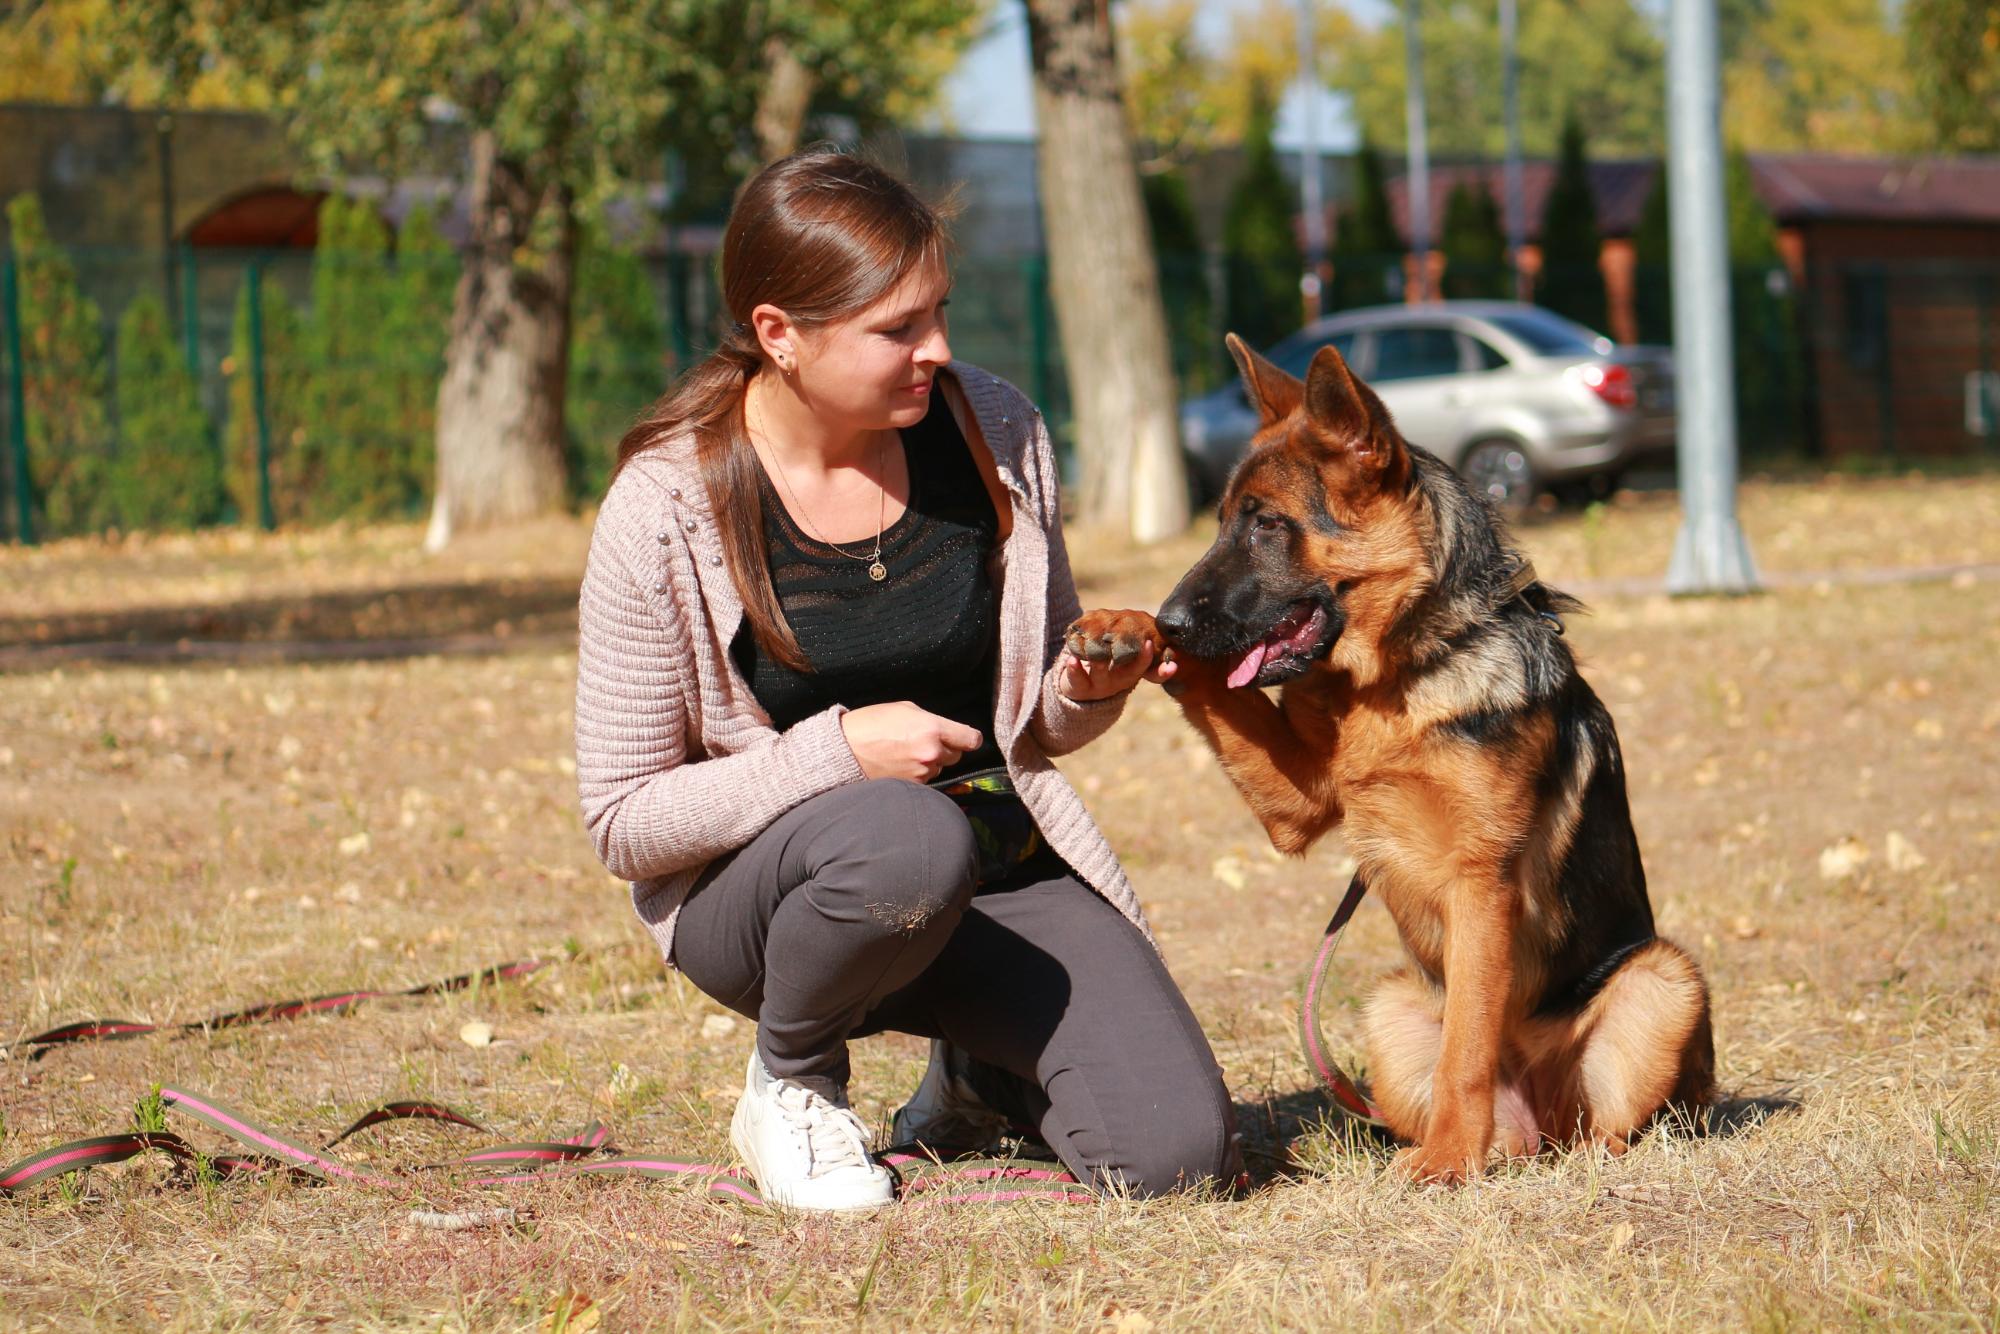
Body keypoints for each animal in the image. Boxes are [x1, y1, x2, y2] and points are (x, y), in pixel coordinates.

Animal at [1072, 340, 1712, 1184]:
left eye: (1268, 525)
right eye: (1221, 525)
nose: (1173, 619)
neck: (1395, 679)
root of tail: (1537, 1128)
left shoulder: (1481, 882)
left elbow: (1468, 1047)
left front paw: (1447, 1161)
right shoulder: (1300, 802)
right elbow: (1212, 685)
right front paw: (1124, 627)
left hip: (1661, 979)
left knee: (1607, 1123)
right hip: (1393, 1003)